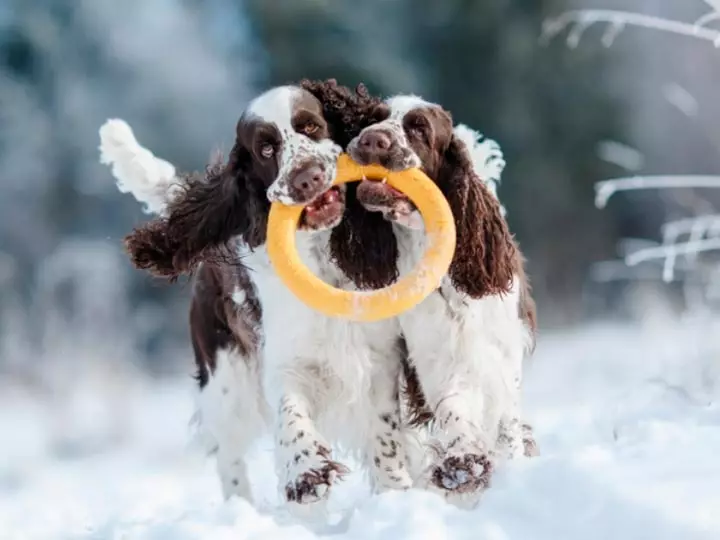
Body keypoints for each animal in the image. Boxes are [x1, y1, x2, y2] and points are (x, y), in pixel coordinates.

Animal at [346, 94, 536, 506]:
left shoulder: (501, 357)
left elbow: (507, 423)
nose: (371, 140)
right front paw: (463, 467)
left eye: (419, 128)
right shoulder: (437, 359)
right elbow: (454, 410)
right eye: (373, 119)